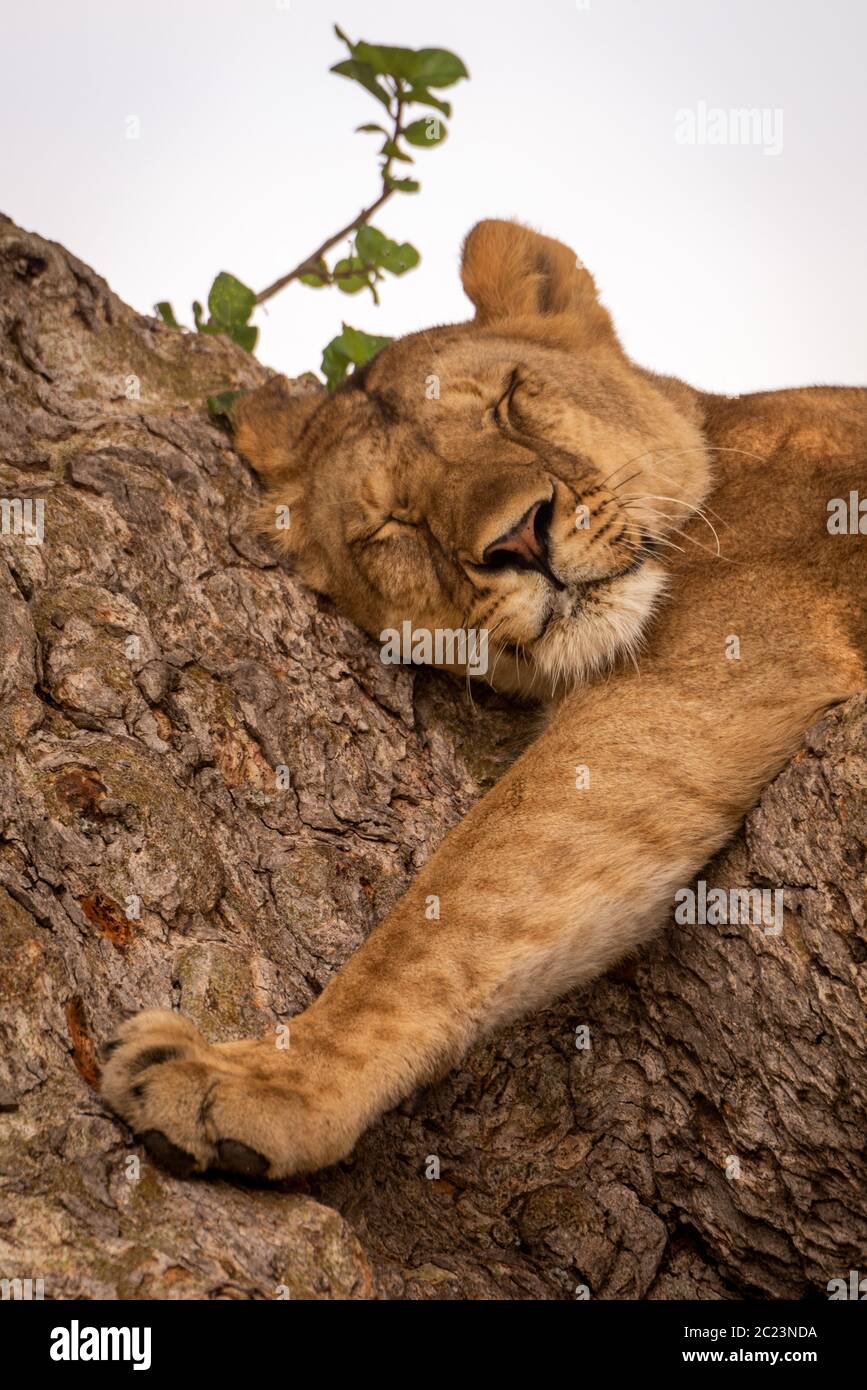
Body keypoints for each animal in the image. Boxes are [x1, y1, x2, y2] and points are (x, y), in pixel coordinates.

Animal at [101, 219, 867, 1180]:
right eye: (393, 524)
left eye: (507, 401)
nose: (518, 538)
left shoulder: (700, 675)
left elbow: (449, 915)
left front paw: (263, 1083)